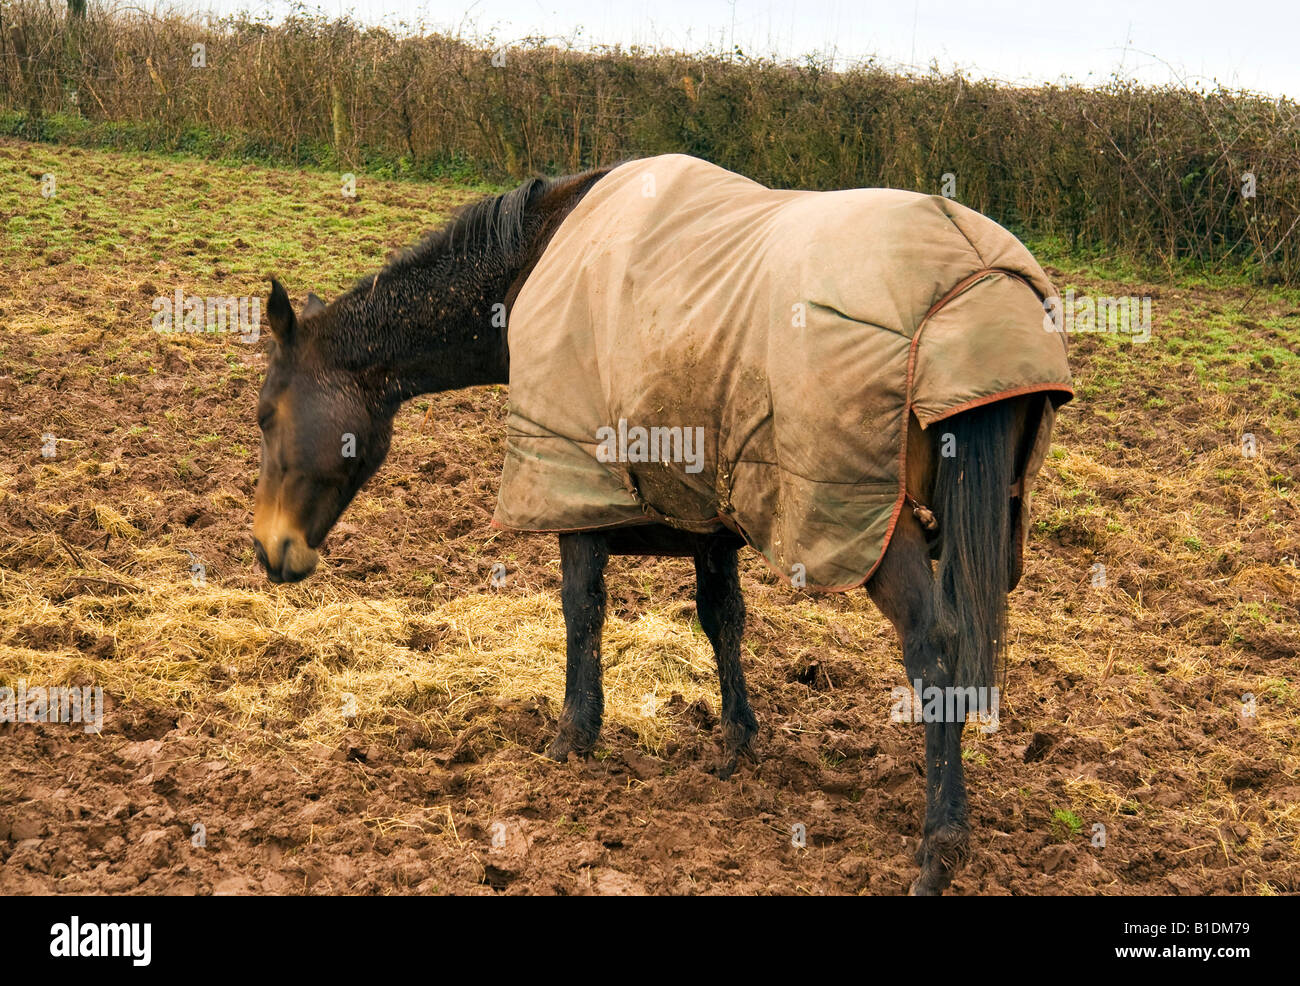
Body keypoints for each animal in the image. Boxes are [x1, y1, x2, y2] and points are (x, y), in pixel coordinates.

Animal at [251, 157, 1070, 895]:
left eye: (264, 414)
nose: (269, 549)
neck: (536, 260)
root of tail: (977, 287)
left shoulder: (576, 484)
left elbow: (582, 612)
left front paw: (573, 736)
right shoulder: (710, 504)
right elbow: (722, 619)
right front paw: (736, 743)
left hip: (875, 526)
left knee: (936, 647)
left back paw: (941, 844)